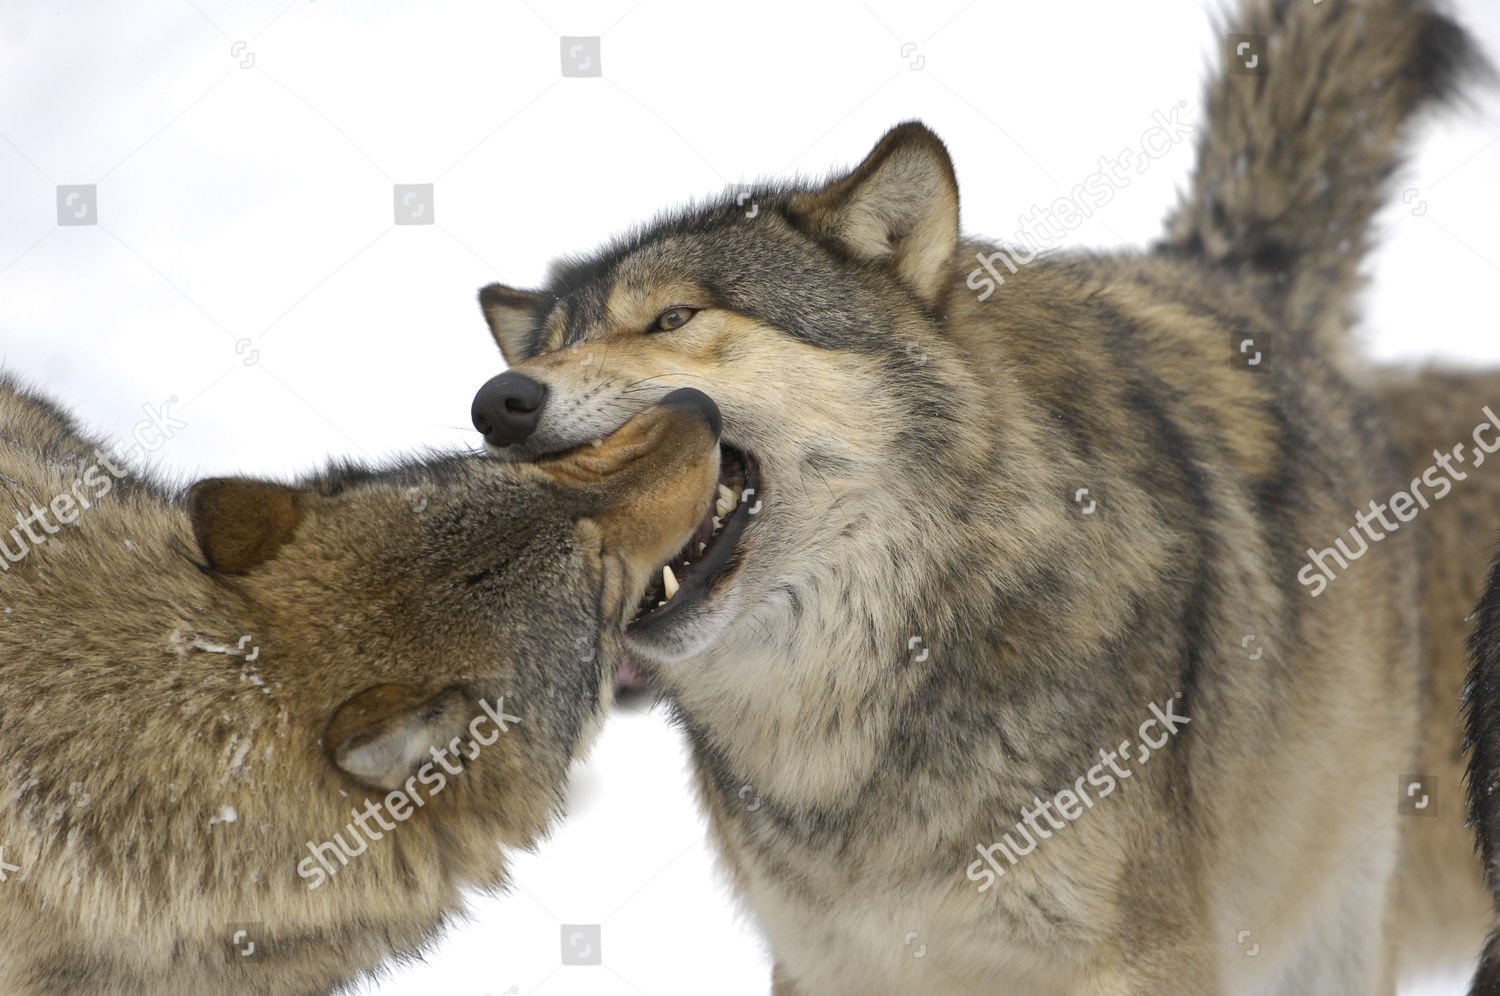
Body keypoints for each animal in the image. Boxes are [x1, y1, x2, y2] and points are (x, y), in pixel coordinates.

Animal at [468, 0, 1493, 990]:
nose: (499, 403)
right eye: (550, 348)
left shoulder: (1139, 961)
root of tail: (1235, 286)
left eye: (674, 318)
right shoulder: (824, 965)